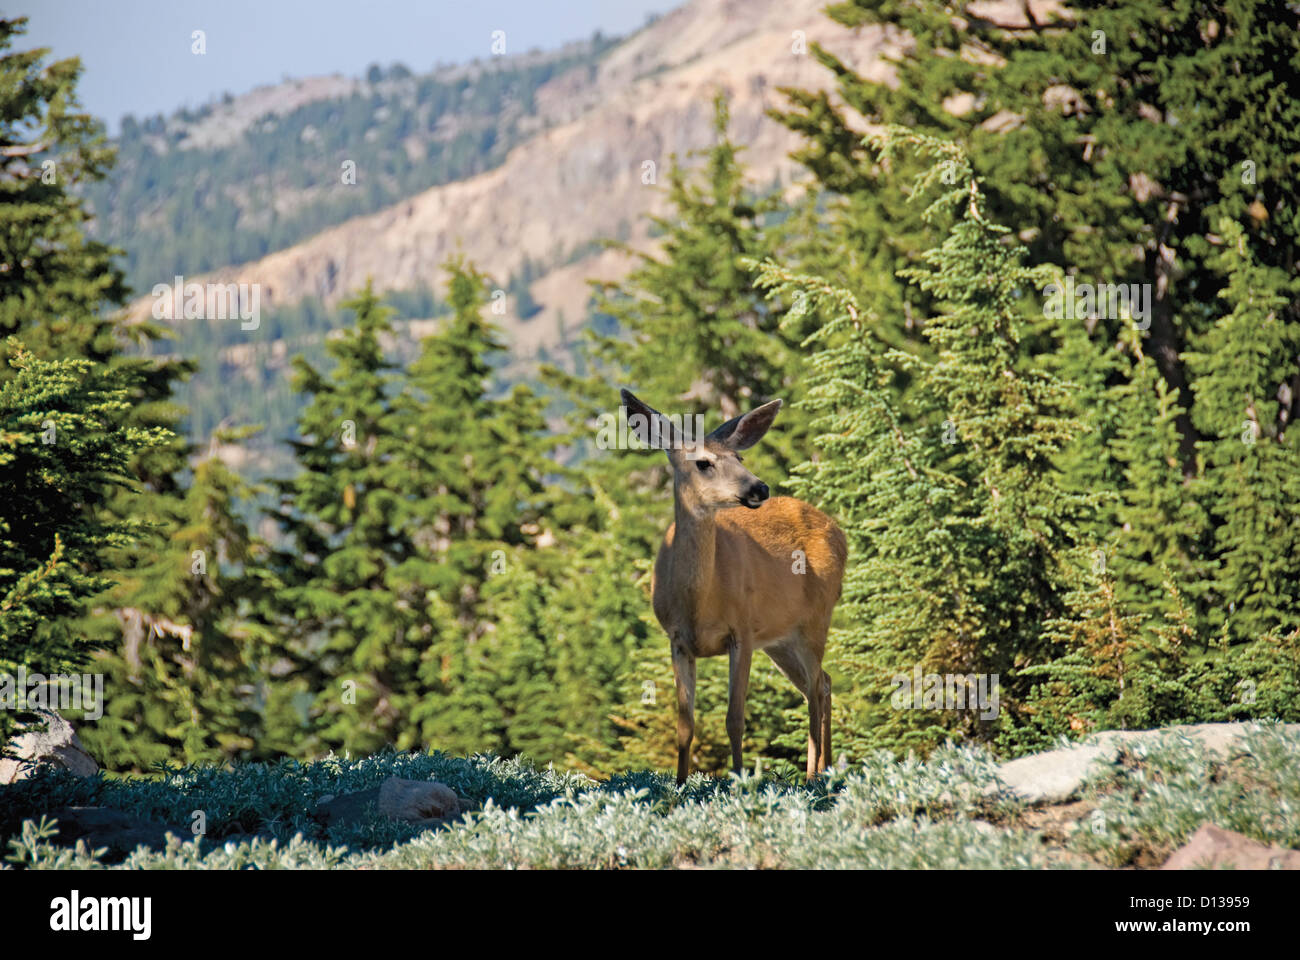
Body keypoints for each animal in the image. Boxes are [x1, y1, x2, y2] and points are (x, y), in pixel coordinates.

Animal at [620, 389, 847, 784]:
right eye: (703, 463)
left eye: (740, 457)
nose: (760, 487)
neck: (699, 603)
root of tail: (841, 534)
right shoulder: (677, 640)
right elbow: (684, 726)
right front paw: (679, 787)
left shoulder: (741, 630)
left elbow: (735, 720)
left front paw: (739, 781)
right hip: (780, 640)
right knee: (822, 684)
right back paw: (824, 771)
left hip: (815, 620)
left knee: (816, 689)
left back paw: (814, 778)